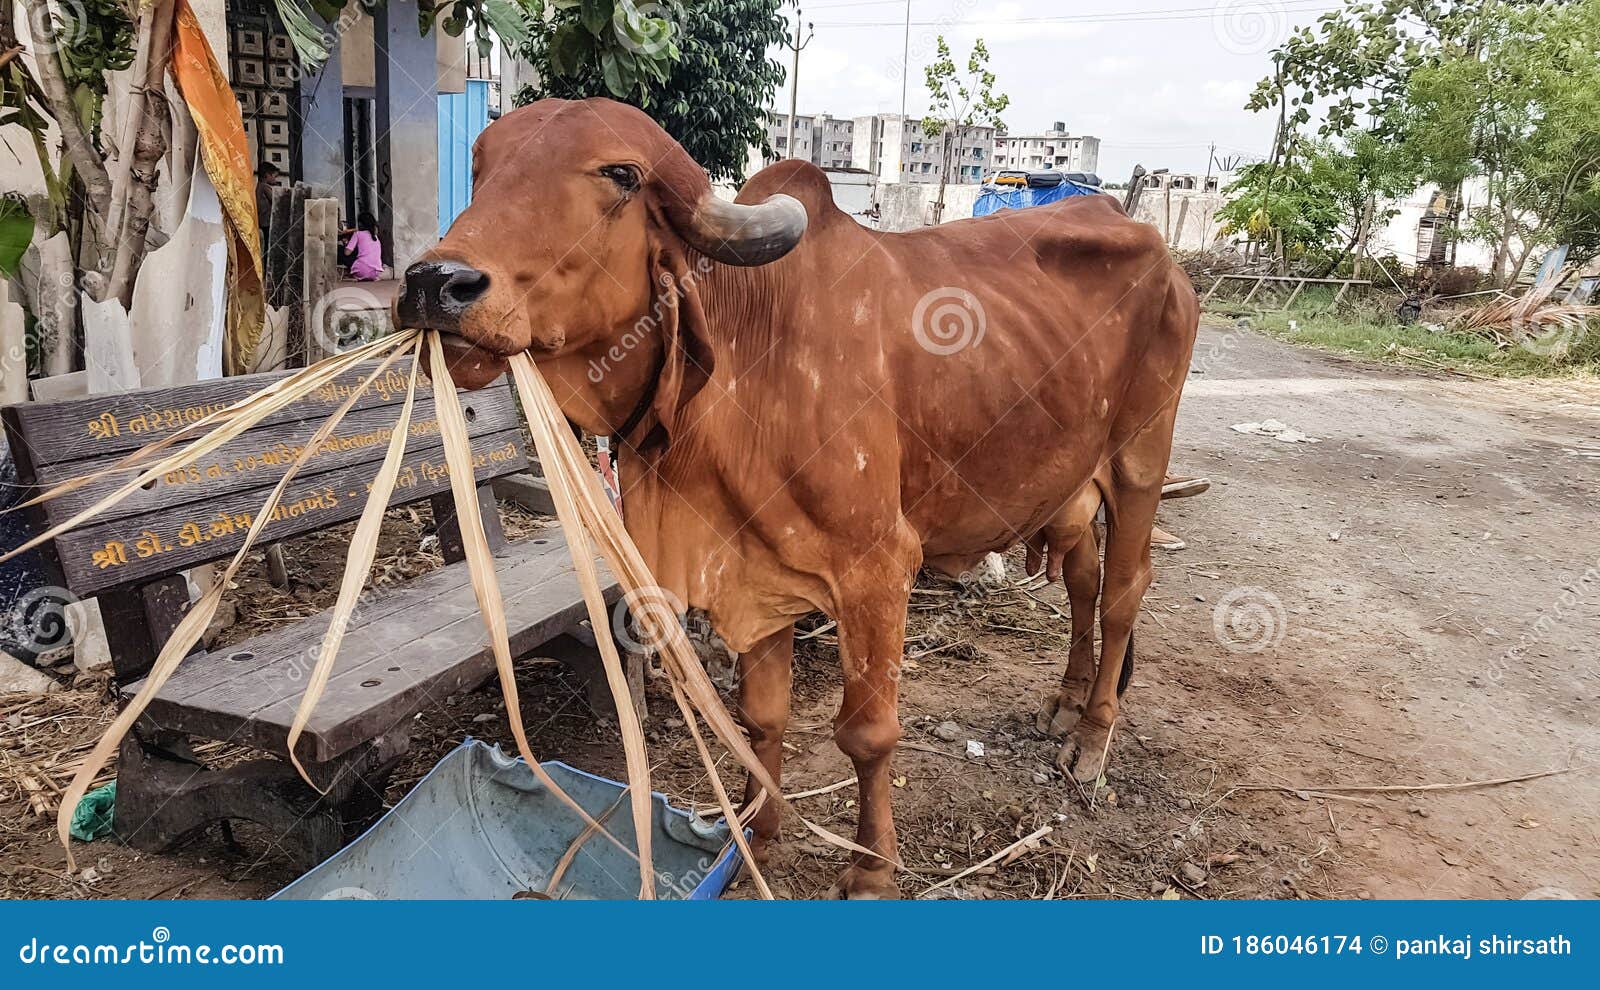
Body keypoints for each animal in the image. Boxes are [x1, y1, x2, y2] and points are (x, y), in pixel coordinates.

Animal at [398, 98, 1199, 898]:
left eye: (619, 174)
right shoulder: (755, 570)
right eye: (481, 166)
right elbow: (761, 718)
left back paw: (1091, 741)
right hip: (1072, 485)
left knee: (1123, 592)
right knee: (1083, 581)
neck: (745, 366)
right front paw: (755, 832)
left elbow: (867, 736)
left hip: (1139, 461)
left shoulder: (878, 569)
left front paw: (871, 870)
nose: (436, 282)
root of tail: (1152, 245)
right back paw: (1065, 704)